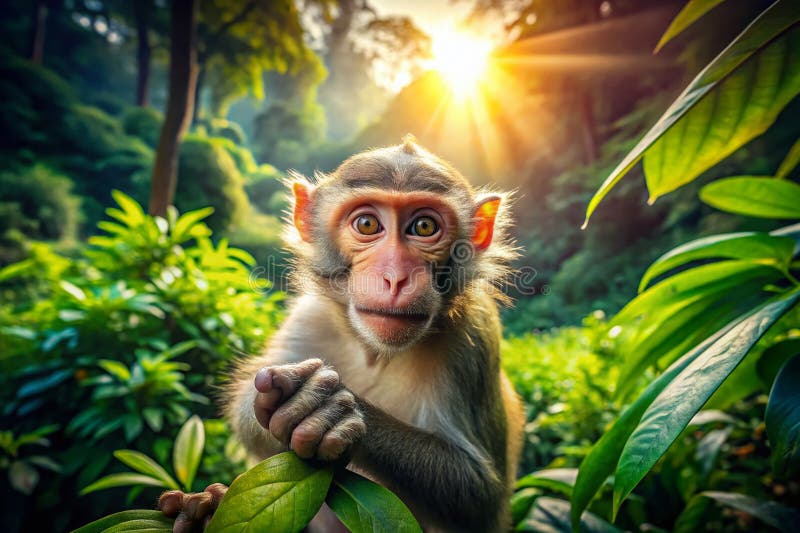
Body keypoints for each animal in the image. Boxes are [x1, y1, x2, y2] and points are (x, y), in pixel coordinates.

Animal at [159, 136, 524, 532]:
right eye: (367, 223)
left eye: (425, 227)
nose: (395, 276)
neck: (377, 352)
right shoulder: (310, 316)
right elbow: (251, 405)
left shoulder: (473, 339)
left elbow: (479, 495)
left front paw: (333, 410)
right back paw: (204, 508)